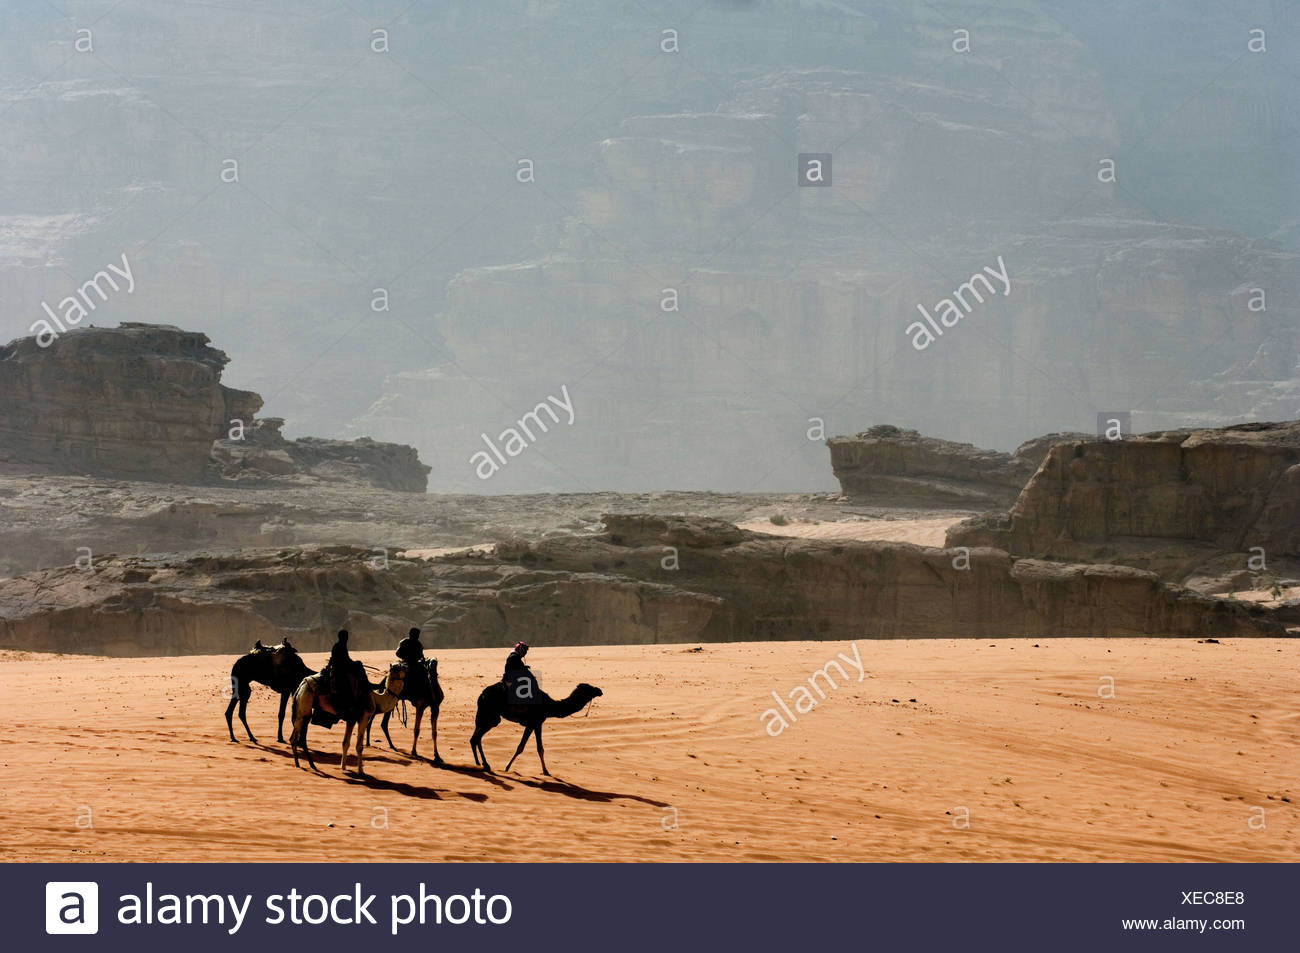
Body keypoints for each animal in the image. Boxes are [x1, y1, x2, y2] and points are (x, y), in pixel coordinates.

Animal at [469, 680, 602, 775]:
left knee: (475, 738)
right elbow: (521, 747)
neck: (550, 706)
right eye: (588, 688)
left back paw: (480, 763)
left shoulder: (538, 723)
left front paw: (545, 771)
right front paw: (507, 767)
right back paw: (485, 765)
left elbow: (540, 748)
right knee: (476, 737)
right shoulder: (533, 723)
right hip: (492, 715)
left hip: (487, 716)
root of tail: (482, 695)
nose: (599, 690)